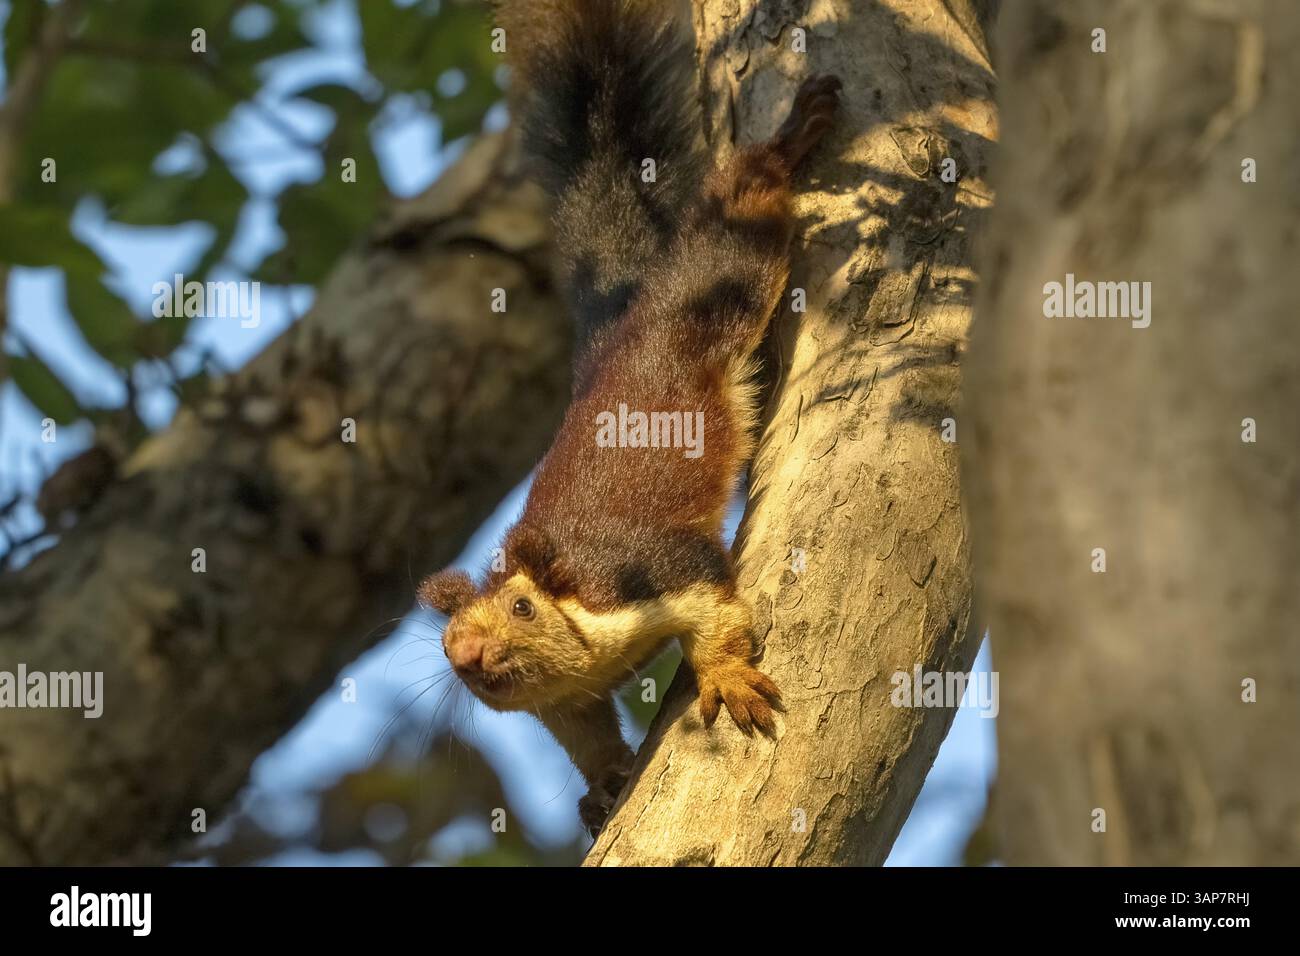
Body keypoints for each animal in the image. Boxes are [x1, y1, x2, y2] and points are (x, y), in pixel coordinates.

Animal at [419, 0, 840, 836]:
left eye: (522, 607)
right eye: (445, 647)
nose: (470, 657)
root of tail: (629, 323)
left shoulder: (651, 570)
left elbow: (714, 610)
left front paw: (726, 679)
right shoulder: (566, 703)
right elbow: (584, 736)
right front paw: (605, 781)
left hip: (720, 280)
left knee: (739, 214)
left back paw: (789, 141)